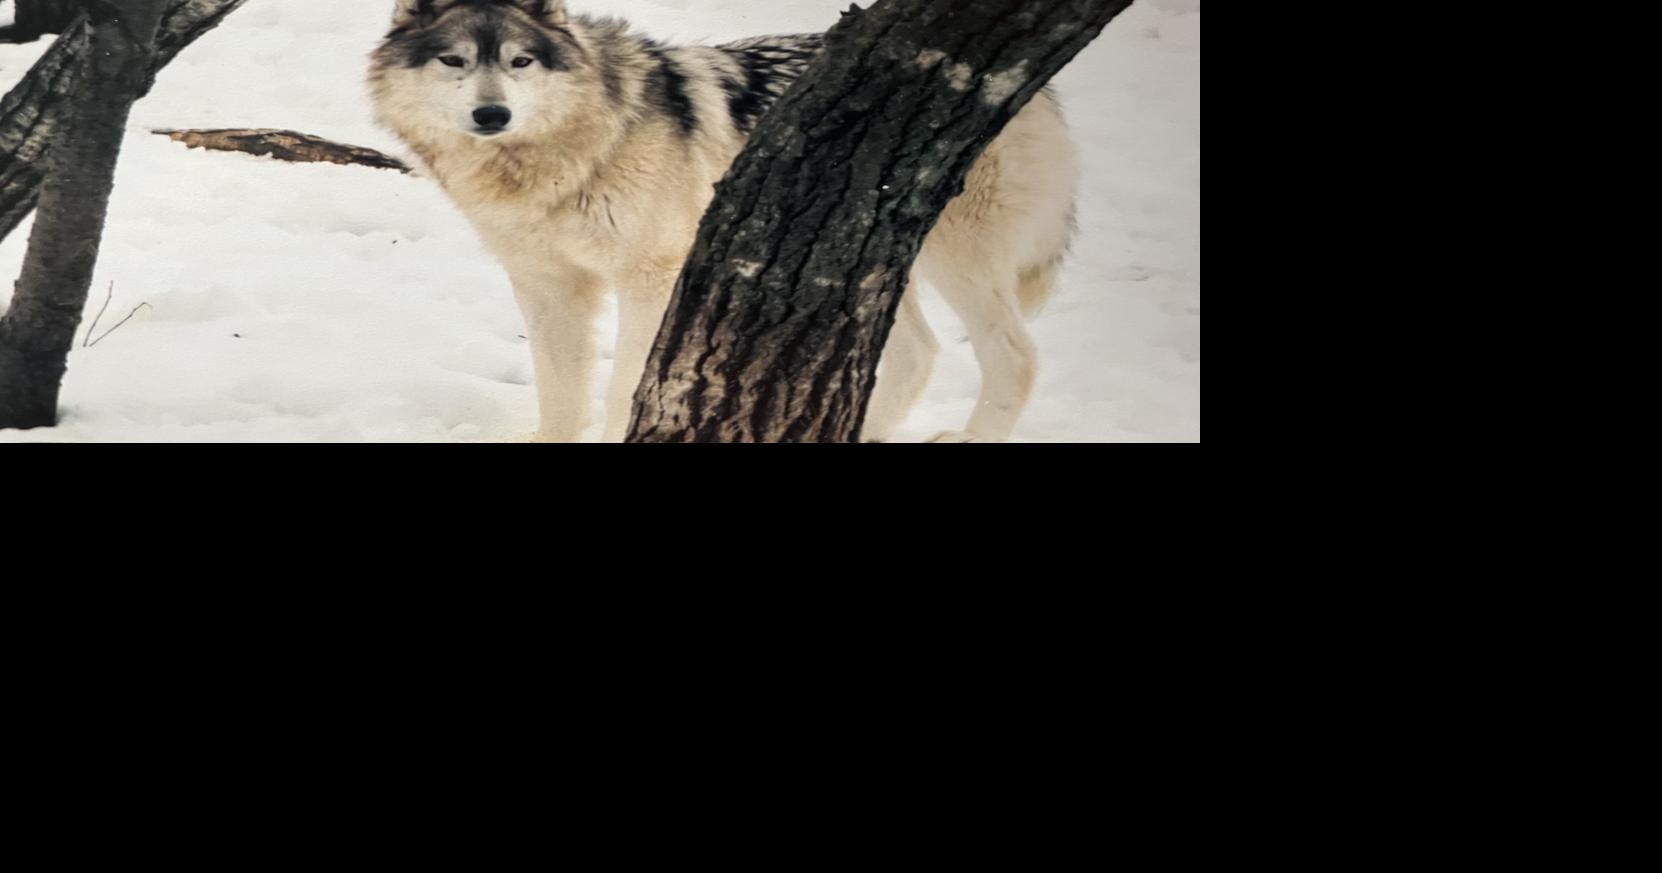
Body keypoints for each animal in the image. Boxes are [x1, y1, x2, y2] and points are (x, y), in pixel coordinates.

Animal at [370, 0, 1080, 442]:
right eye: (454, 62)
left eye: (521, 62)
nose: (492, 115)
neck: (559, 158)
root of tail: (1036, 89)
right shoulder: (545, 283)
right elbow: (559, 392)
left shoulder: (651, 277)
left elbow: (622, 386)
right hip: (853, 257)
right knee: (917, 355)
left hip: (949, 261)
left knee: (1014, 356)